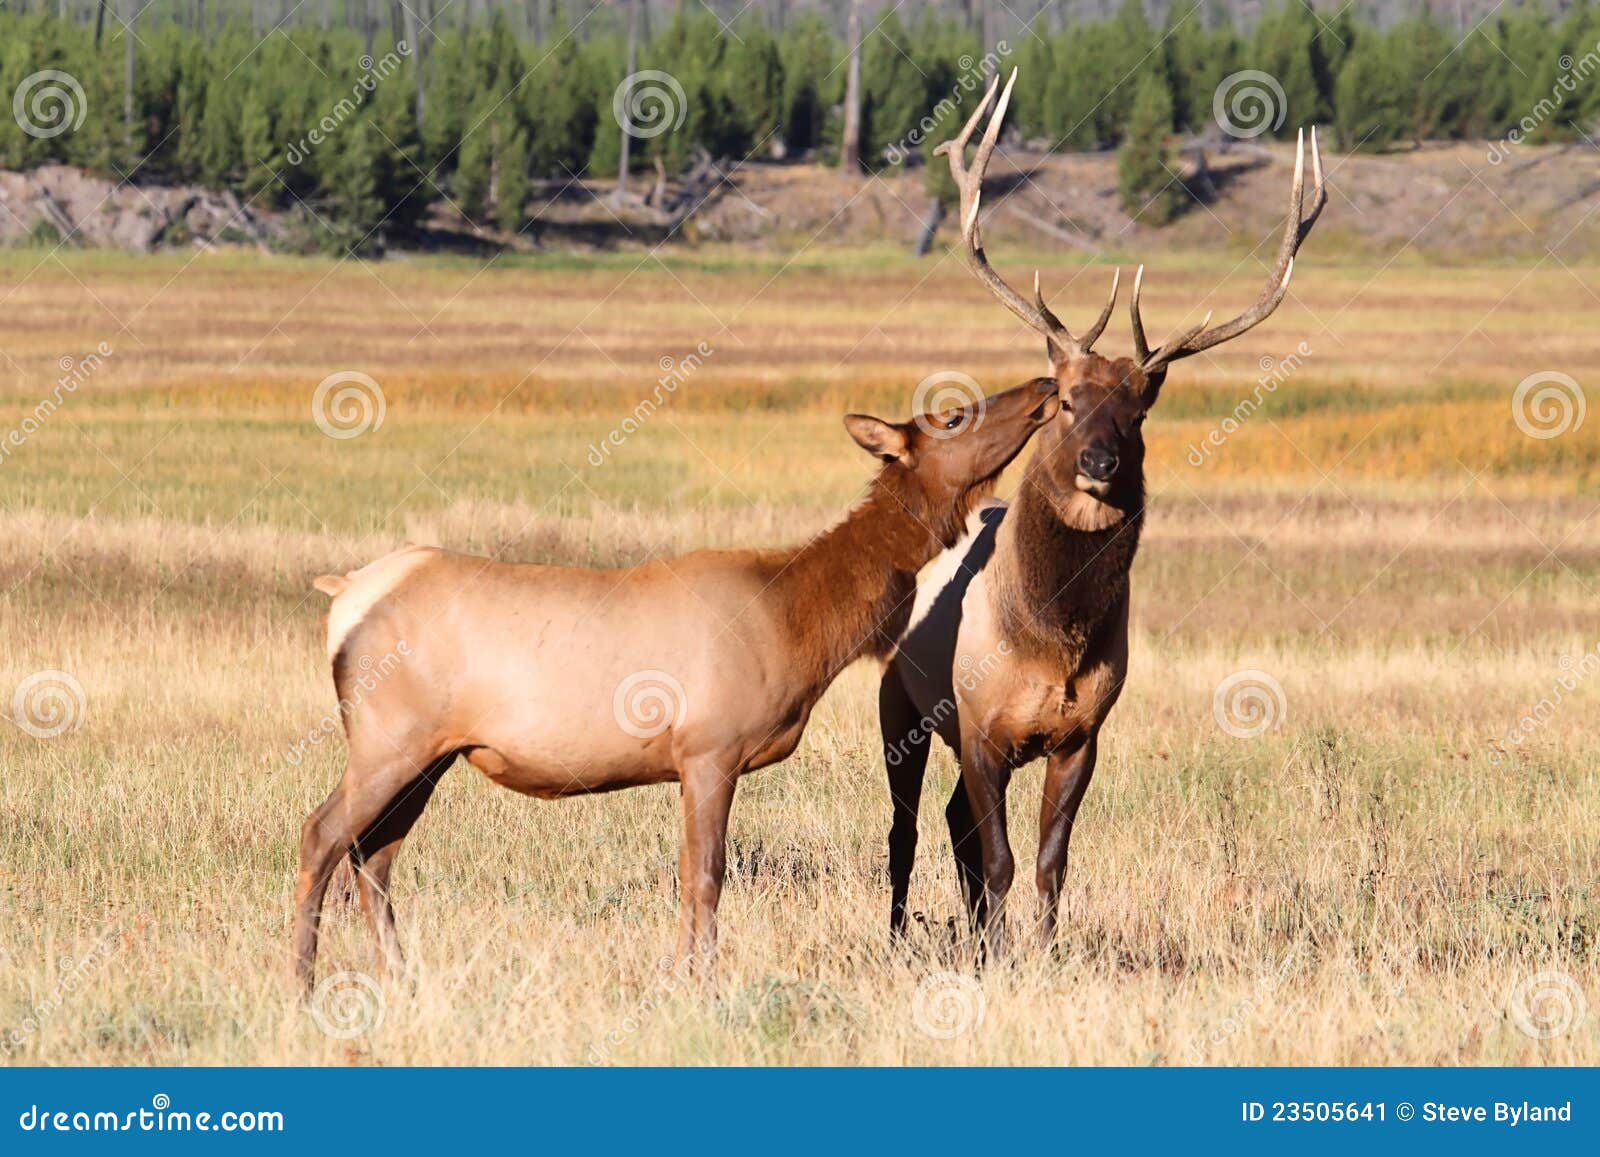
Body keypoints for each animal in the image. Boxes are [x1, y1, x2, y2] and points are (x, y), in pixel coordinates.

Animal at [291, 376, 1060, 994]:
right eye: (952, 414)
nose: (1045, 384)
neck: (799, 621)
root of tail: (343, 592)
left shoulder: (694, 762)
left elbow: (692, 873)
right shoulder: (709, 747)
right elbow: (707, 874)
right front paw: (700, 982)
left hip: (432, 753)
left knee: (376, 852)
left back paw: (399, 975)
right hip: (388, 736)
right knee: (323, 832)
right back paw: (302, 983)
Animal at [879, 69, 1325, 955]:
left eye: (1139, 410)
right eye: (1065, 400)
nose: (1100, 461)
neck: (1052, 639)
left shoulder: (1083, 731)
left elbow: (1050, 860)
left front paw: (1042, 951)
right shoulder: (978, 724)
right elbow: (1002, 857)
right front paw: (1002, 956)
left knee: (947, 825)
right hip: (898, 706)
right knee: (907, 828)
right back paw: (901, 933)